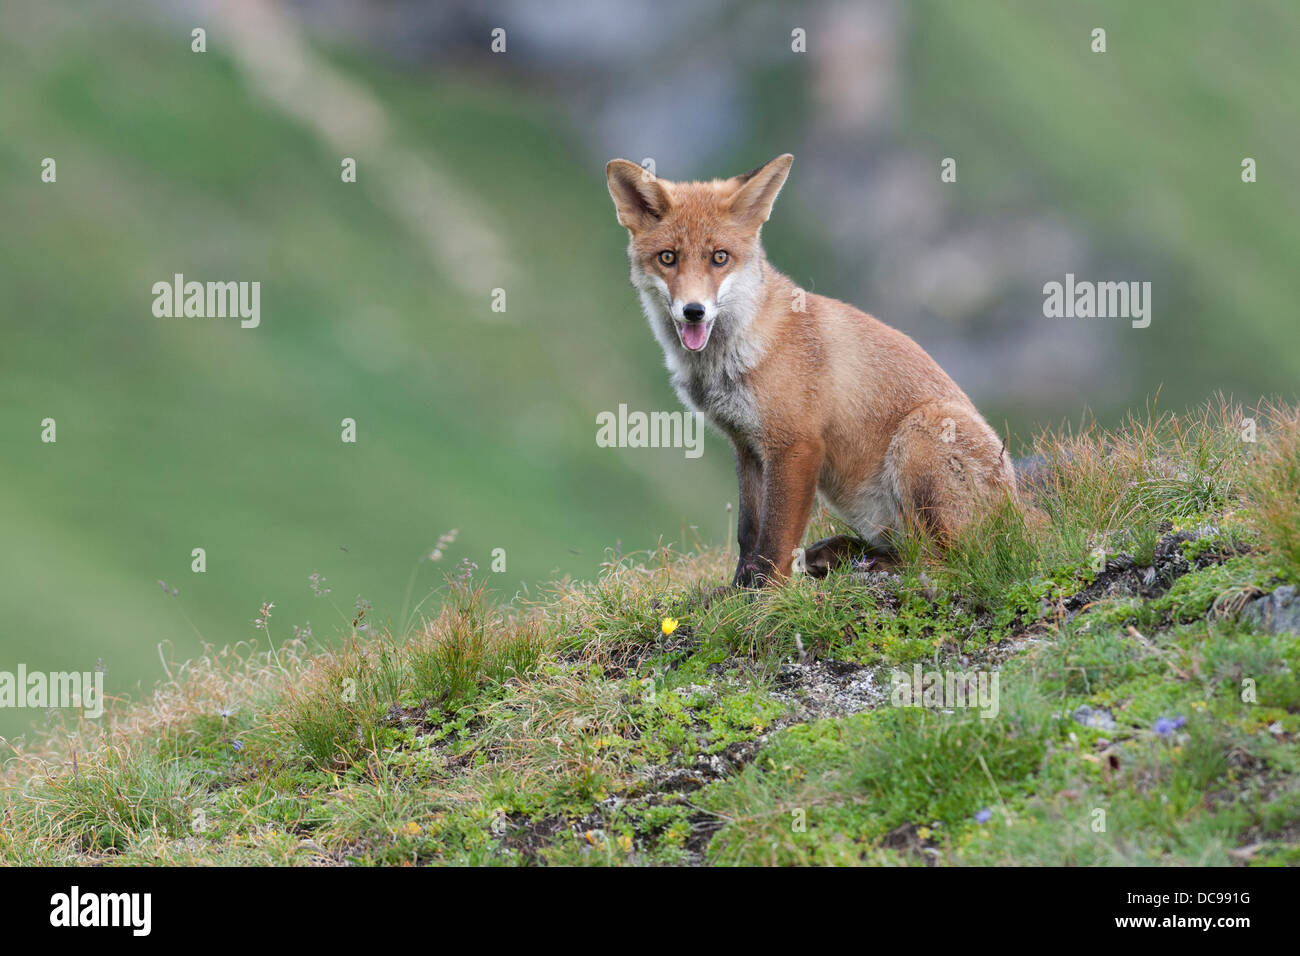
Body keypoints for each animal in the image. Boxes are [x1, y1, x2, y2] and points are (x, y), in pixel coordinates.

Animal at [606, 153, 1022, 587]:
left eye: (719, 257)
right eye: (667, 257)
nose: (693, 311)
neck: (736, 355)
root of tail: (1023, 519)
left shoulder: (796, 444)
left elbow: (775, 539)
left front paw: (768, 594)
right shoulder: (747, 446)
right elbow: (748, 532)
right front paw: (738, 590)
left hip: (921, 434)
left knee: (950, 560)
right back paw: (845, 556)